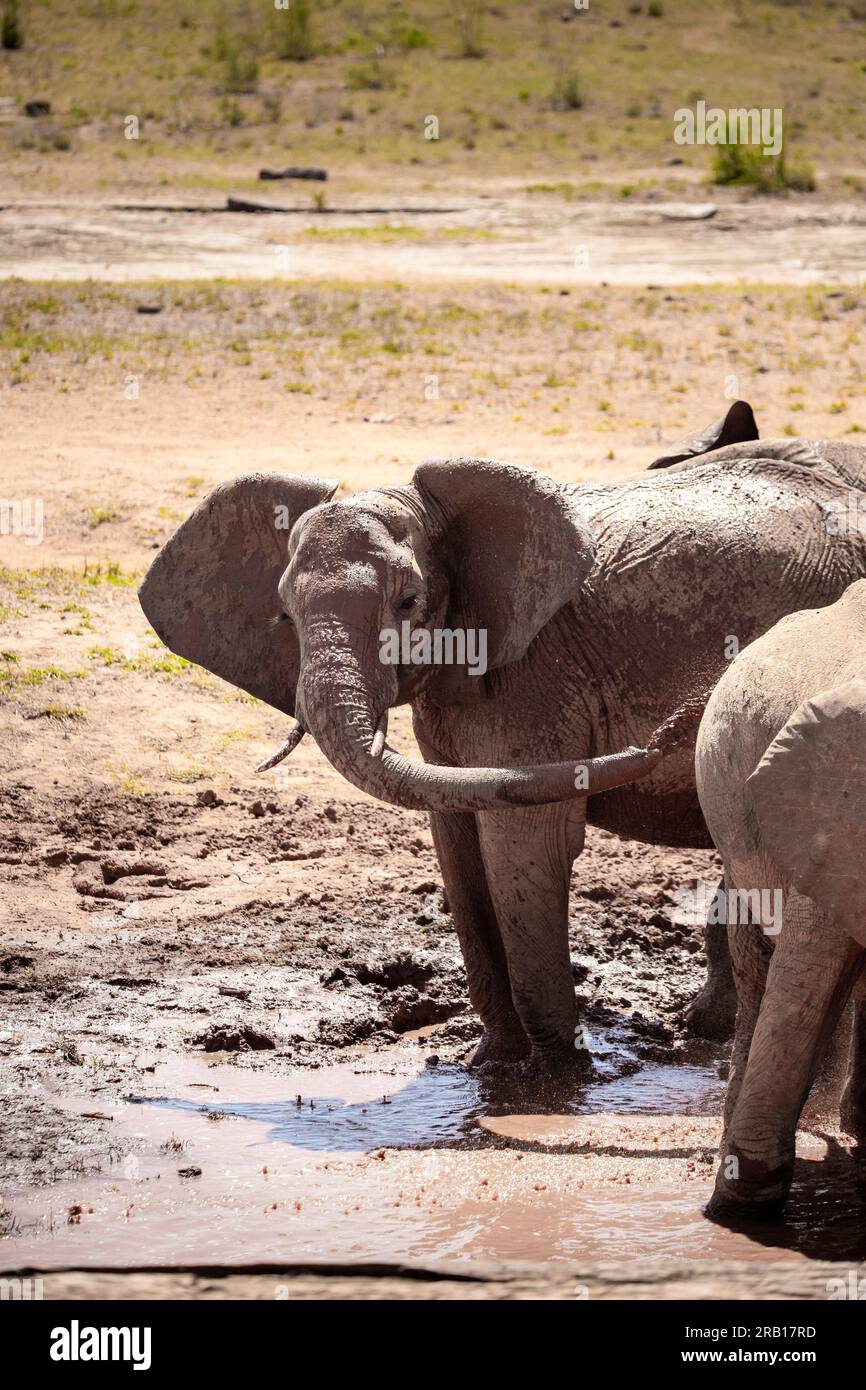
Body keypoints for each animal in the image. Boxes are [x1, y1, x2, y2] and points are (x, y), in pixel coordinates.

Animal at [139, 404, 866, 1071]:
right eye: (284, 616)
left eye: (408, 603)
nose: (665, 731)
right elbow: (456, 834)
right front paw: (492, 1062)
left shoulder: (535, 677)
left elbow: (524, 843)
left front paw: (558, 1078)